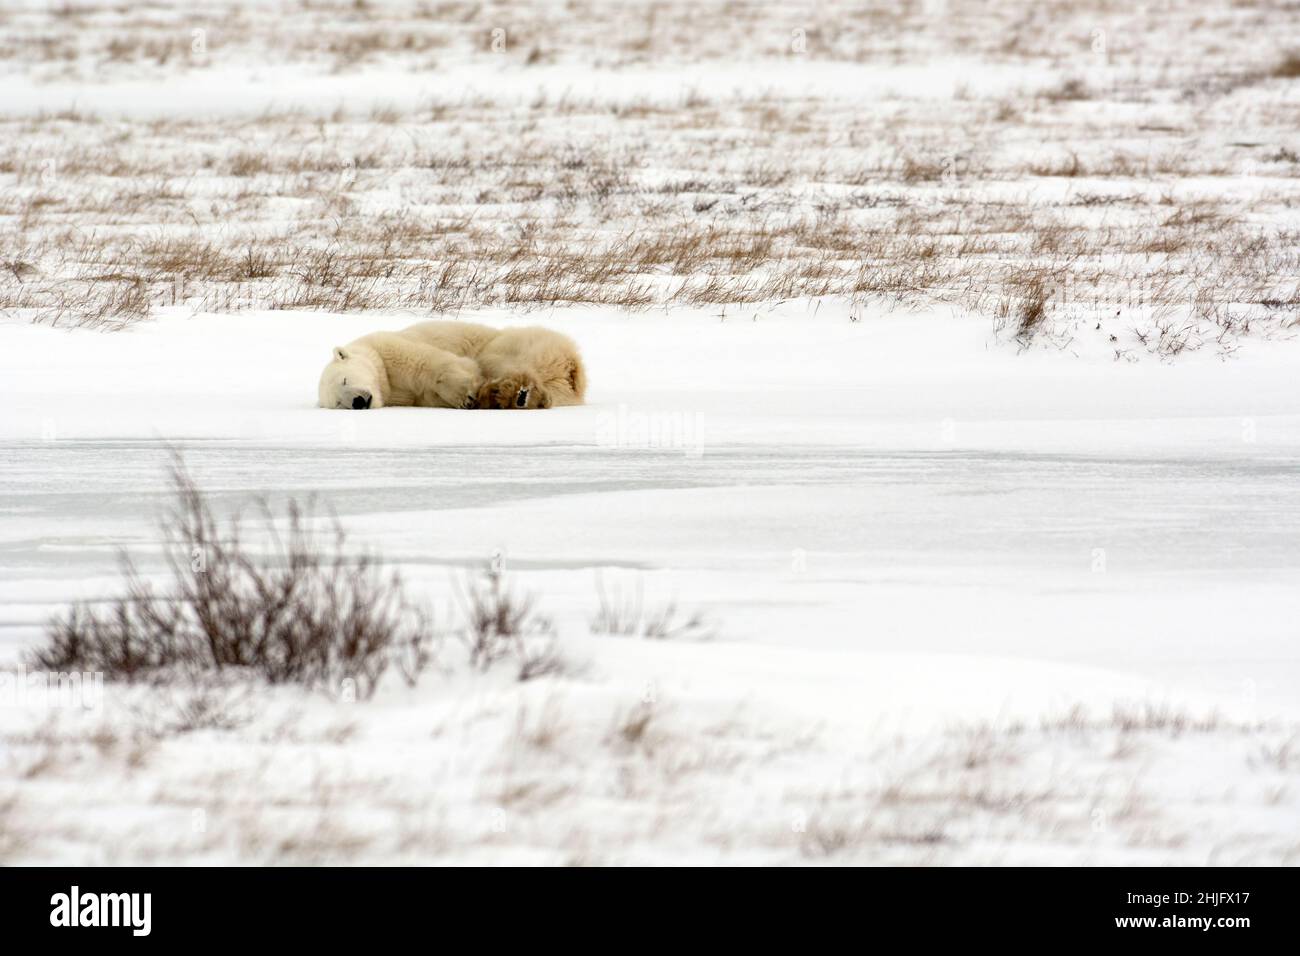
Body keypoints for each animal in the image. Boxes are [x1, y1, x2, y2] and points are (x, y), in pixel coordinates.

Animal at [317, 321, 587, 411]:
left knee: (496, 360)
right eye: (338, 402)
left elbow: (429, 363)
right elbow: (430, 395)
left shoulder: (388, 349)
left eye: (345, 380)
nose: (357, 402)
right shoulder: (411, 396)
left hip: (519, 343)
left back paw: (511, 393)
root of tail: (573, 363)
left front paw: (465, 394)